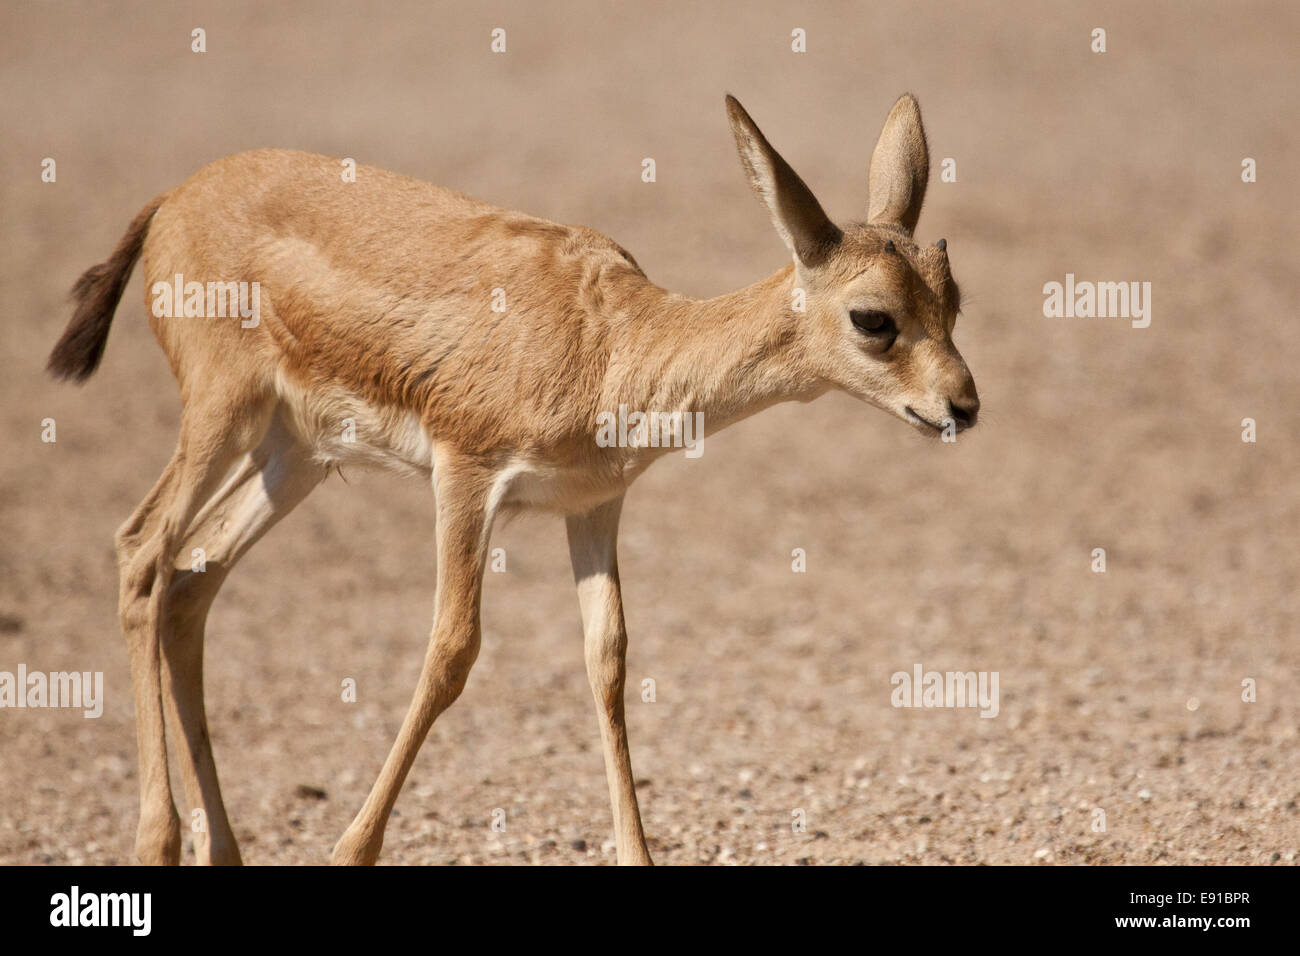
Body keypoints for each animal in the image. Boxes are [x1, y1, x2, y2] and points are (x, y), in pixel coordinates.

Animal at [47, 93, 979, 866]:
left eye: (953, 299)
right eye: (873, 318)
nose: (963, 406)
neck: (611, 342)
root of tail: (174, 197)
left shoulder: (593, 507)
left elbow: (608, 658)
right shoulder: (464, 477)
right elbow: (451, 651)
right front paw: (351, 849)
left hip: (293, 458)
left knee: (192, 583)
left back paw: (224, 850)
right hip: (223, 418)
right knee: (141, 552)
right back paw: (159, 841)